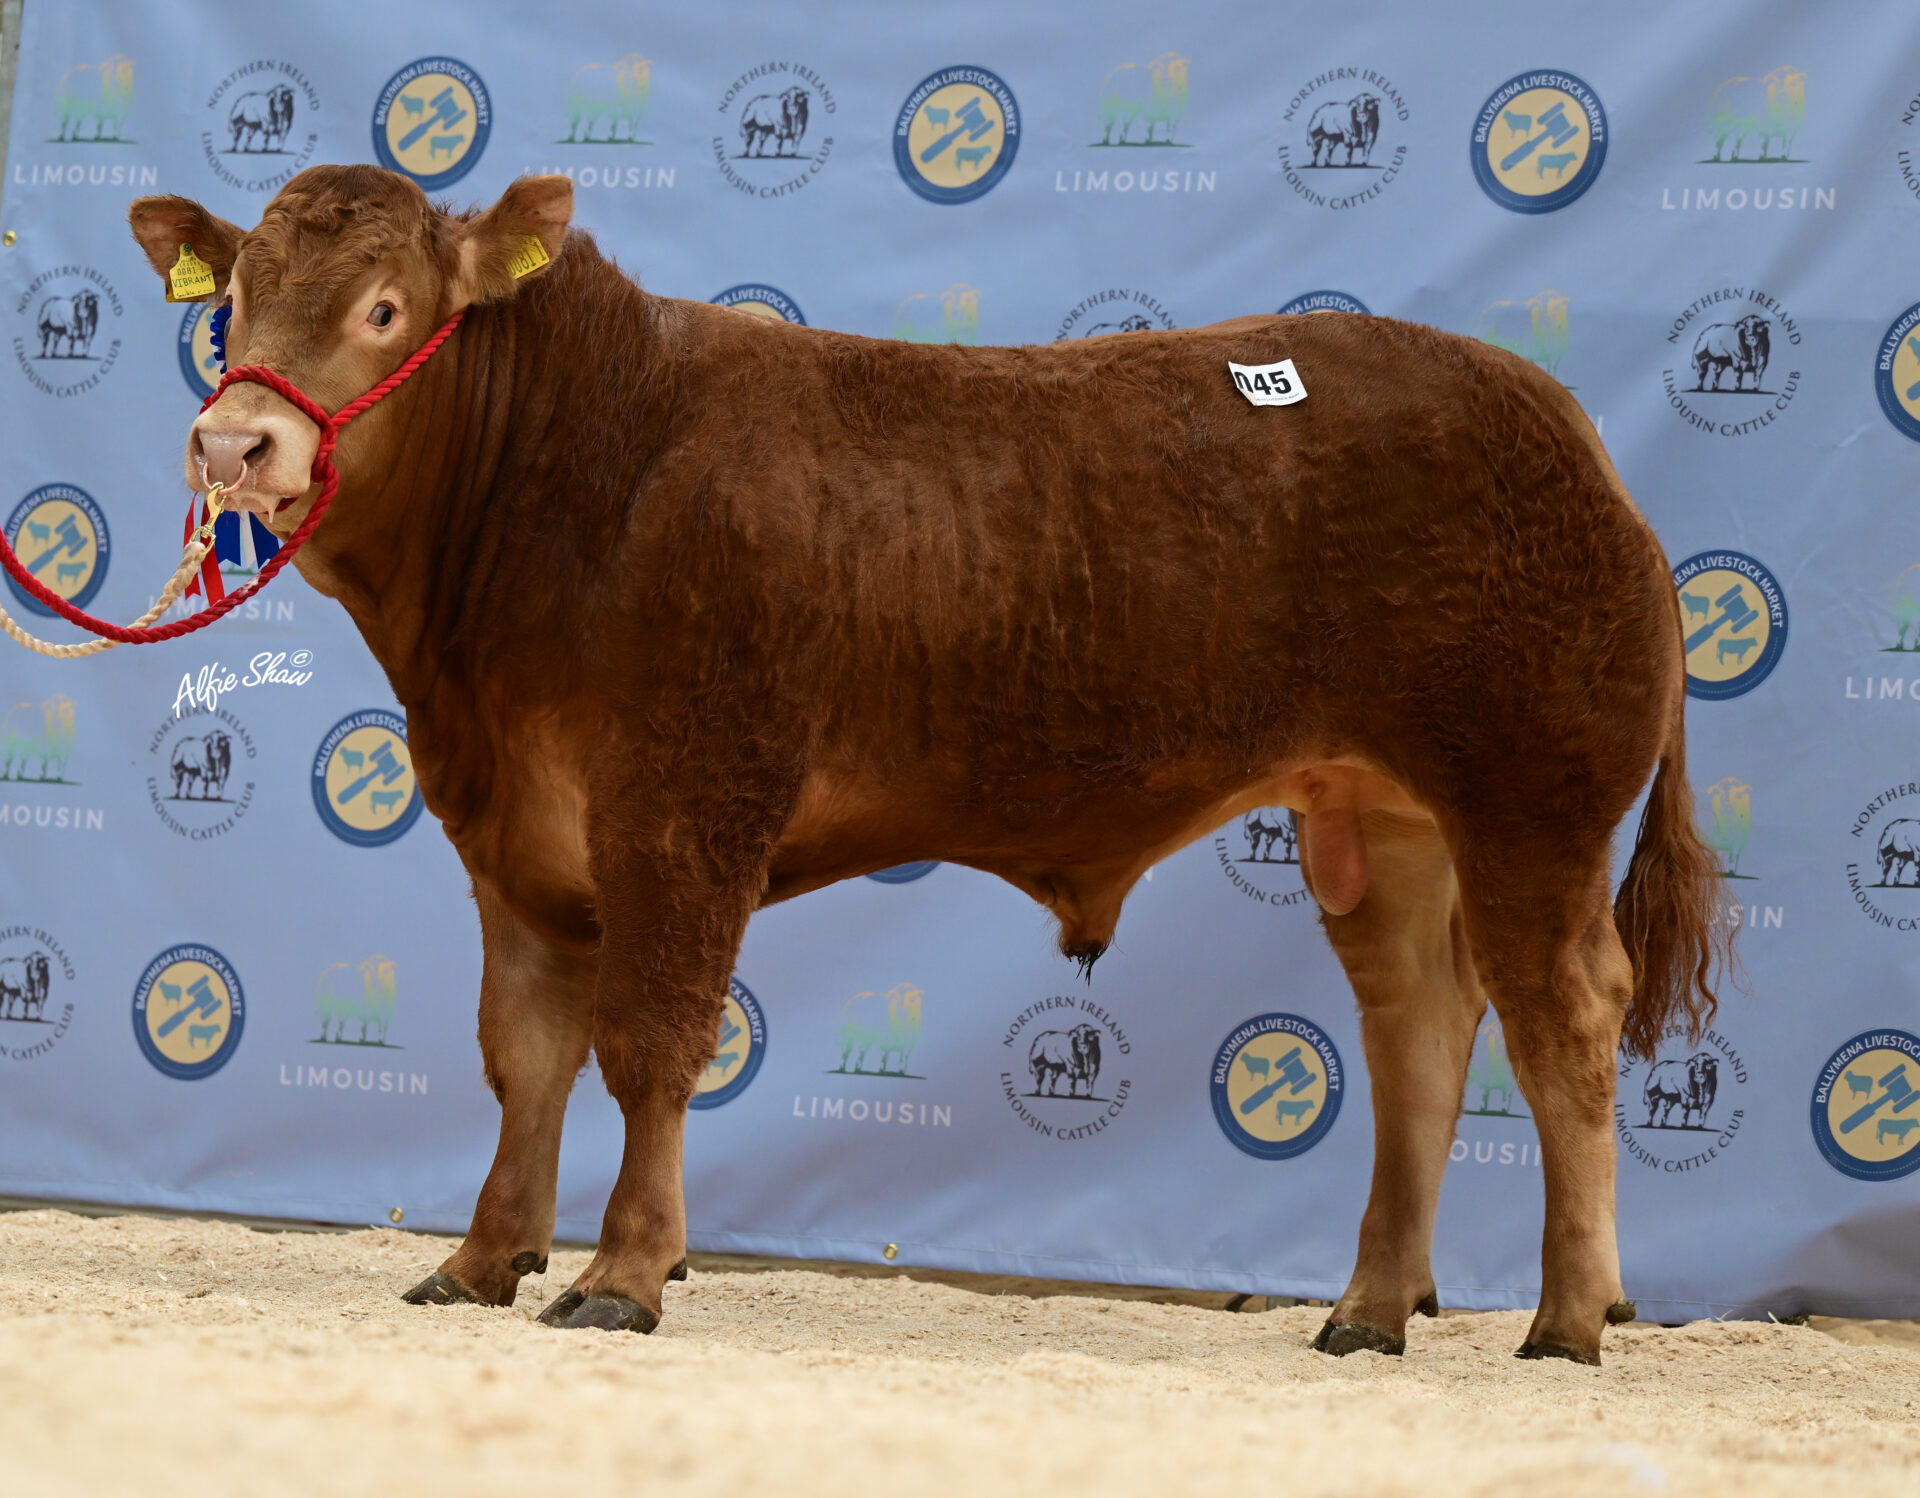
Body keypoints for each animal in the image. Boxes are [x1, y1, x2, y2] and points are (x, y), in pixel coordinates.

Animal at [128, 164, 1729, 1366]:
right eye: (233, 311)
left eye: (385, 306)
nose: (232, 442)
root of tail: (1573, 437)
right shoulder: (514, 833)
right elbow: (522, 1053)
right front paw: (476, 1259)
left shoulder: (685, 807)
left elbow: (648, 1044)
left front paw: (622, 1274)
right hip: (1383, 820)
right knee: (1420, 1030)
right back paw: (1370, 1310)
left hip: (1534, 800)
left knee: (1566, 1019)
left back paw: (1569, 1317)